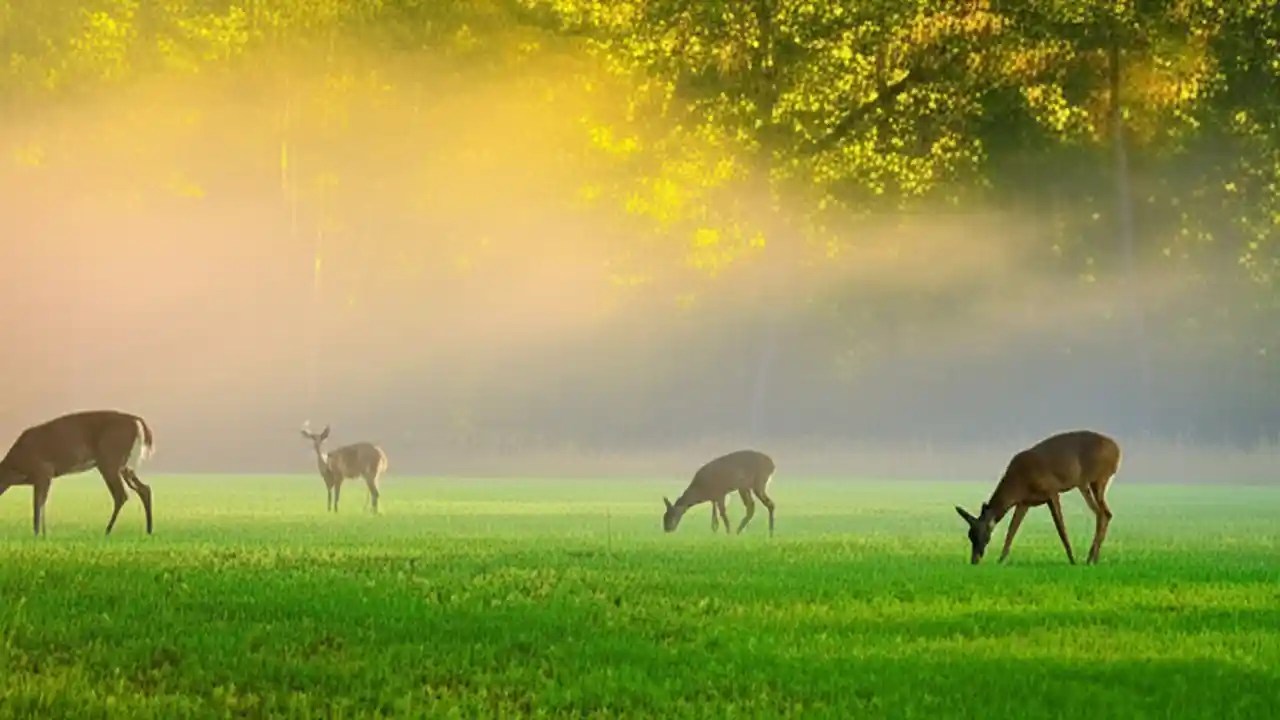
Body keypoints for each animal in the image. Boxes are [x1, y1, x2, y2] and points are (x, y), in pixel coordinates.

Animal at [0, 410, 155, 537]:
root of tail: (138, 422)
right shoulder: (42, 478)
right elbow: (41, 504)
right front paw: (43, 535)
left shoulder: (44, 472)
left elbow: (38, 505)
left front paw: (38, 535)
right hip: (124, 465)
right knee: (144, 489)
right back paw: (148, 530)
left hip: (109, 460)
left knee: (121, 495)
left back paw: (107, 531)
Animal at [955, 429, 1121, 566]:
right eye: (970, 535)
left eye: (983, 535)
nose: (974, 560)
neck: (1017, 482)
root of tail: (1118, 451)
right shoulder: (1024, 502)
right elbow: (1011, 531)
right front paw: (1000, 560)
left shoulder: (1052, 491)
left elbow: (1061, 529)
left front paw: (1072, 560)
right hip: (1087, 484)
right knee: (1104, 513)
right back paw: (1092, 559)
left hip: (1096, 480)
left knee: (1103, 512)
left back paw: (1089, 559)